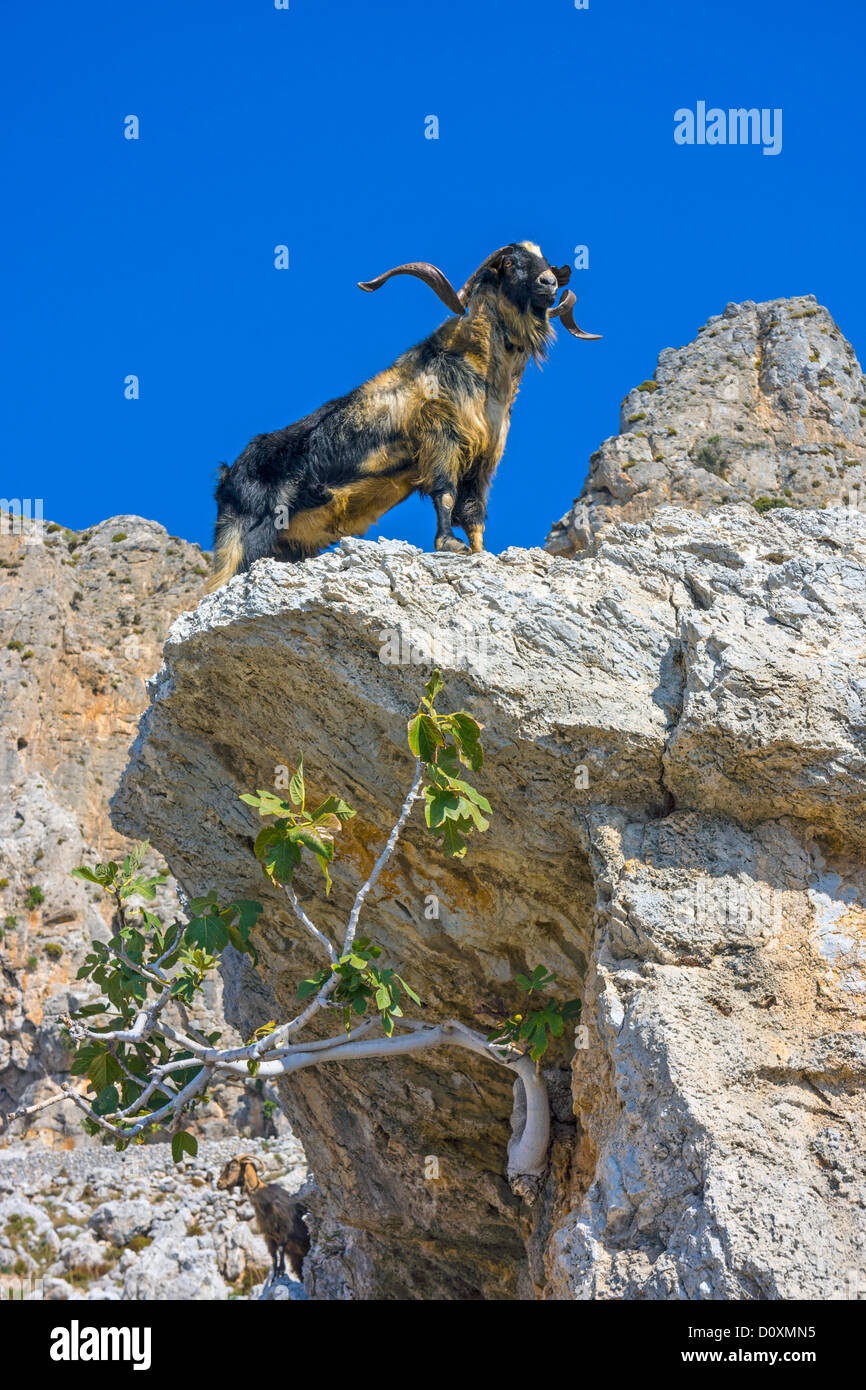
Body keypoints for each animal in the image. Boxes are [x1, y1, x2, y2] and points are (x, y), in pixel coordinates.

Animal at [207, 242, 600, 589]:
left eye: (545, 262)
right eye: (510, 263)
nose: (549, 283)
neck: (478, 370)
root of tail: (228, 477)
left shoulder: (482, 459)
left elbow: (474, 514)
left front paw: (480, 552)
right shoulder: (441, 439)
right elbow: (445, 494)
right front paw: (449, 544)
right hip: (245, 535)